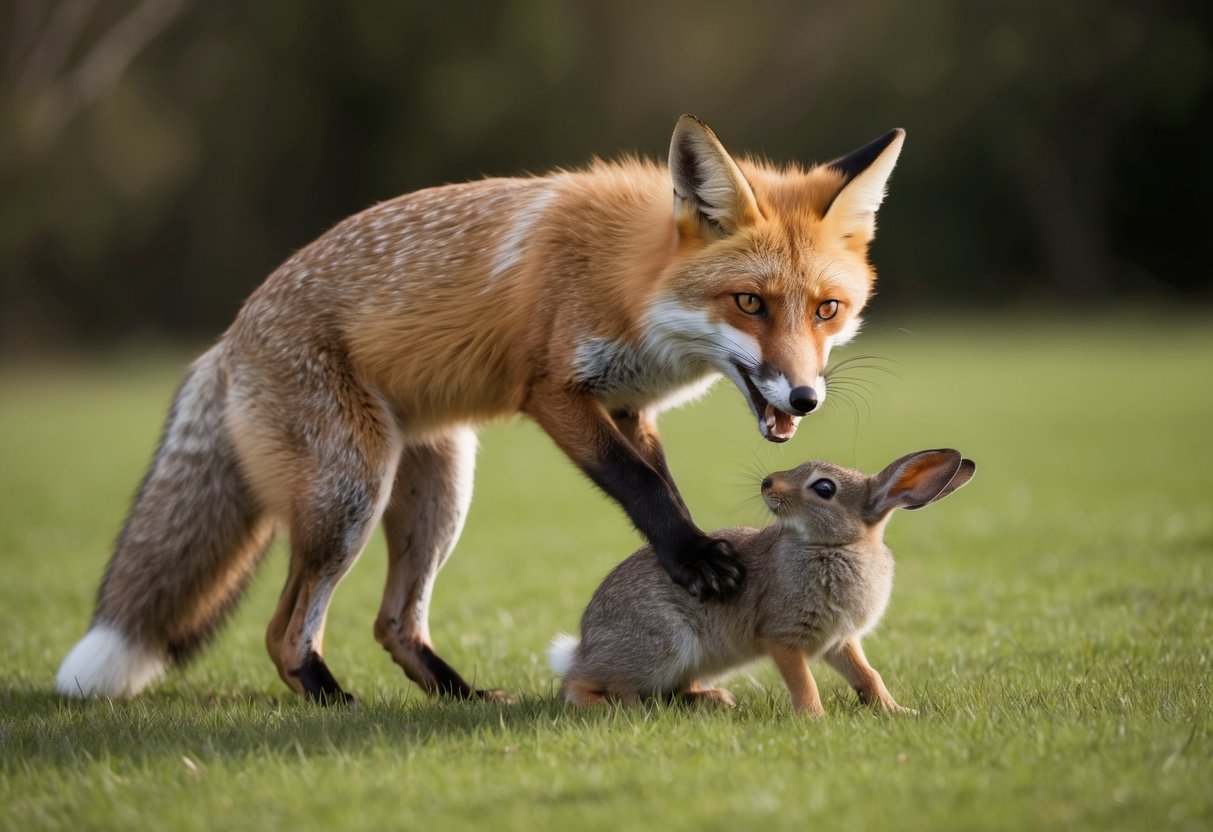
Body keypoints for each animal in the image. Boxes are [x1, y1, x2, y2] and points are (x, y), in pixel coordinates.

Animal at [56, 115, 905, 703]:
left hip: (439, 493)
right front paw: (696, 559)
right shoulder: (555, 391)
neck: (629, 283)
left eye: (827, 309)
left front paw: (693, 555)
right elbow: (639, 487)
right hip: (349, 494)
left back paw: (456, 695)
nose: (804, 396)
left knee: (393, 622)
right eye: (749, 303)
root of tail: (228, 338)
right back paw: (334, 701)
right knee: (283, 631)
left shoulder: (627, 404)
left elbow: (661, 488)